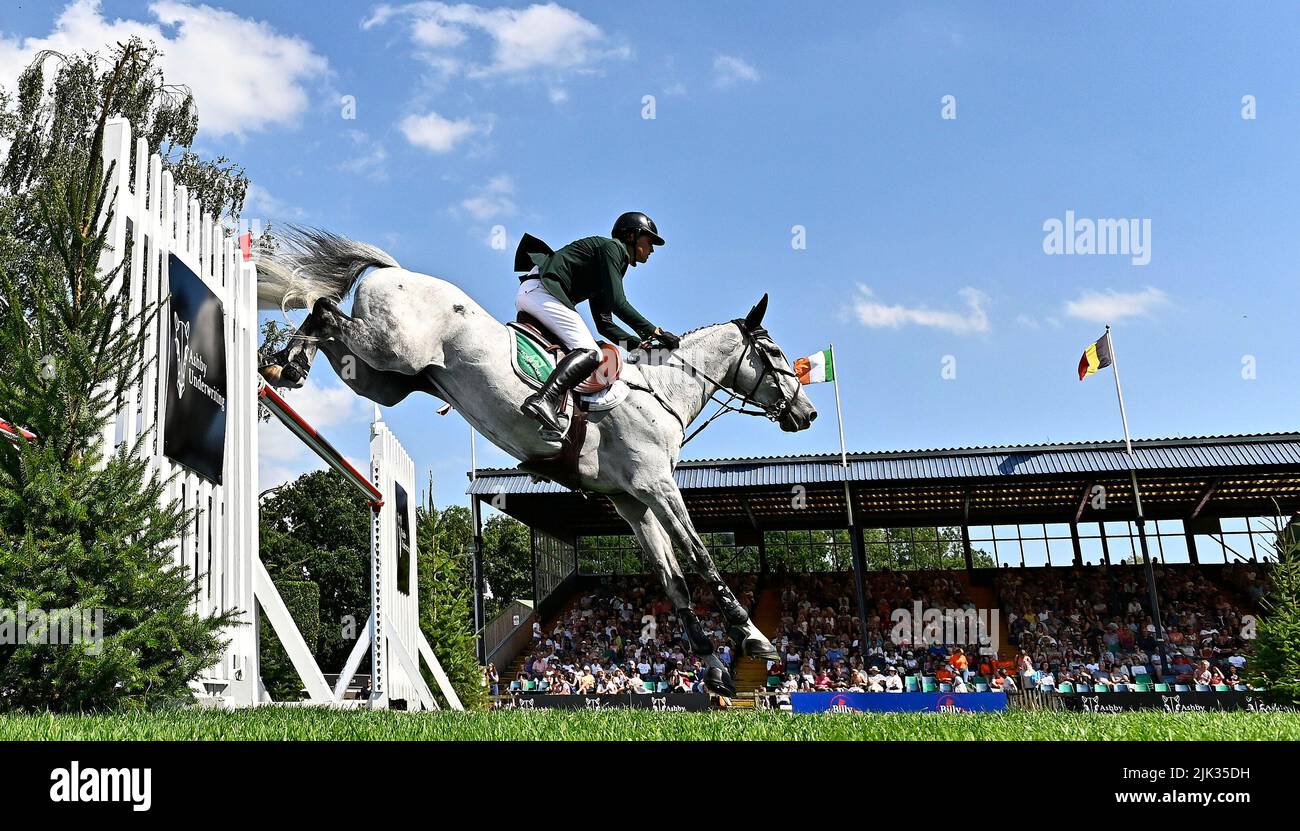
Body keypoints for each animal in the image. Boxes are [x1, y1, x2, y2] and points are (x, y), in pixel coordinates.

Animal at [256, 227, 818, 696]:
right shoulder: (658, 485)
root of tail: (396, 271)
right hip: (390, 348)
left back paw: (286, 365)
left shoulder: (631, 500)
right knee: (325, 306)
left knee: (330, 324)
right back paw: (283, 361)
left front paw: (715, 667)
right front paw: (754, 639)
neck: (662, 391)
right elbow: (702, 558)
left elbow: (673, 577)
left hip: (384, 379)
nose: (807, 413)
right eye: (775, 354)